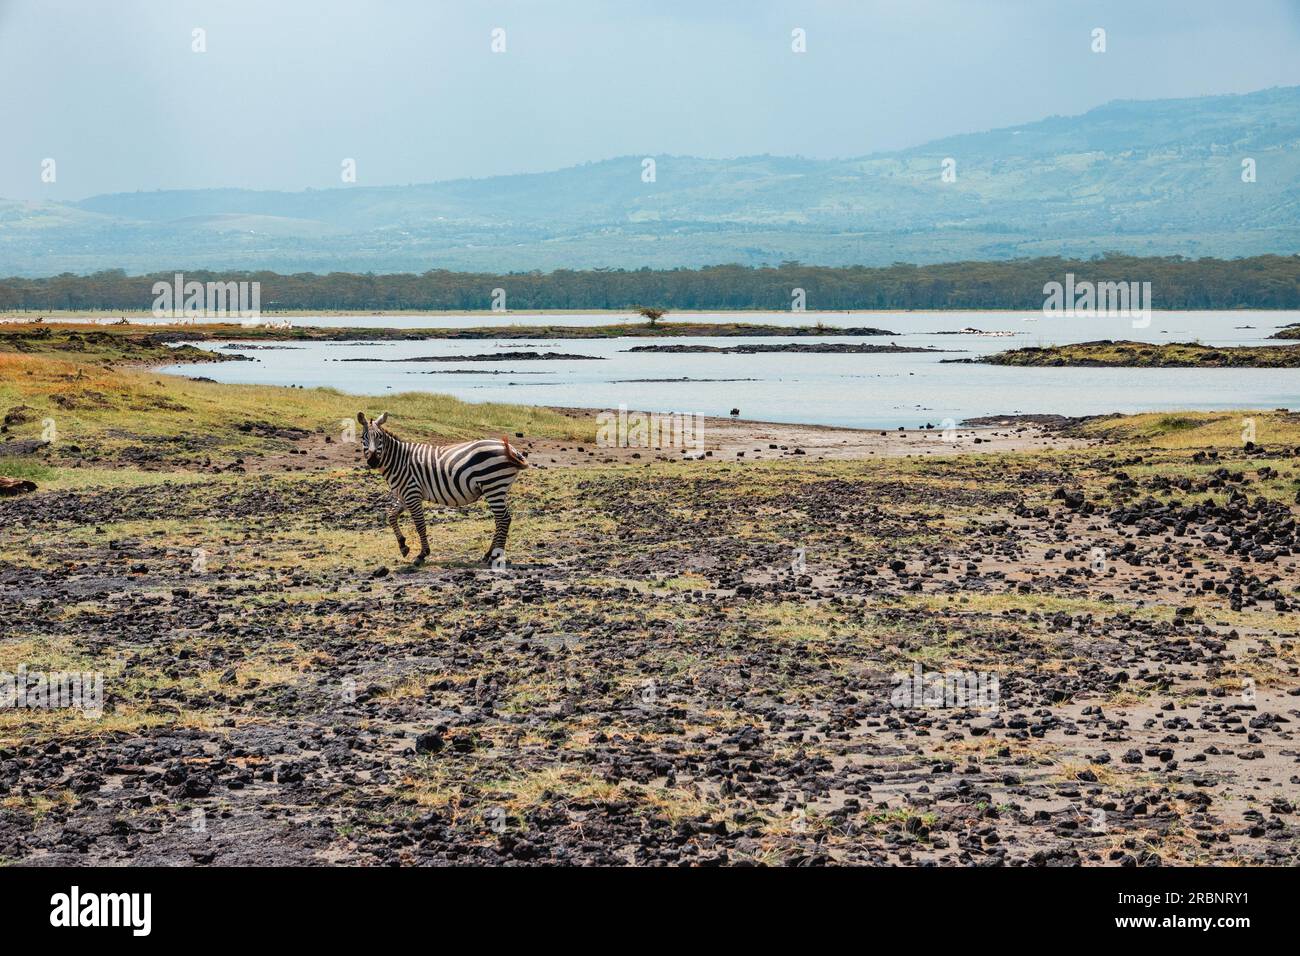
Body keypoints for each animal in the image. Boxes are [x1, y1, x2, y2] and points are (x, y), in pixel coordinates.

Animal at [356, 412, 528, 566]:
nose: (372, 461)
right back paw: (488, 555)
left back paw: (494, 556)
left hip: (493, 485)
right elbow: (391, 516)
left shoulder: (412, 493)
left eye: (380, 437)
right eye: (364, 437)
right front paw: (403, 546)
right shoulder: (403, 494)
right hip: (497, 488)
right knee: (500, 520)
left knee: (503, 519)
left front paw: (422, 554)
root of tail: (511, 449)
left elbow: (420, 524)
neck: (399, 461)